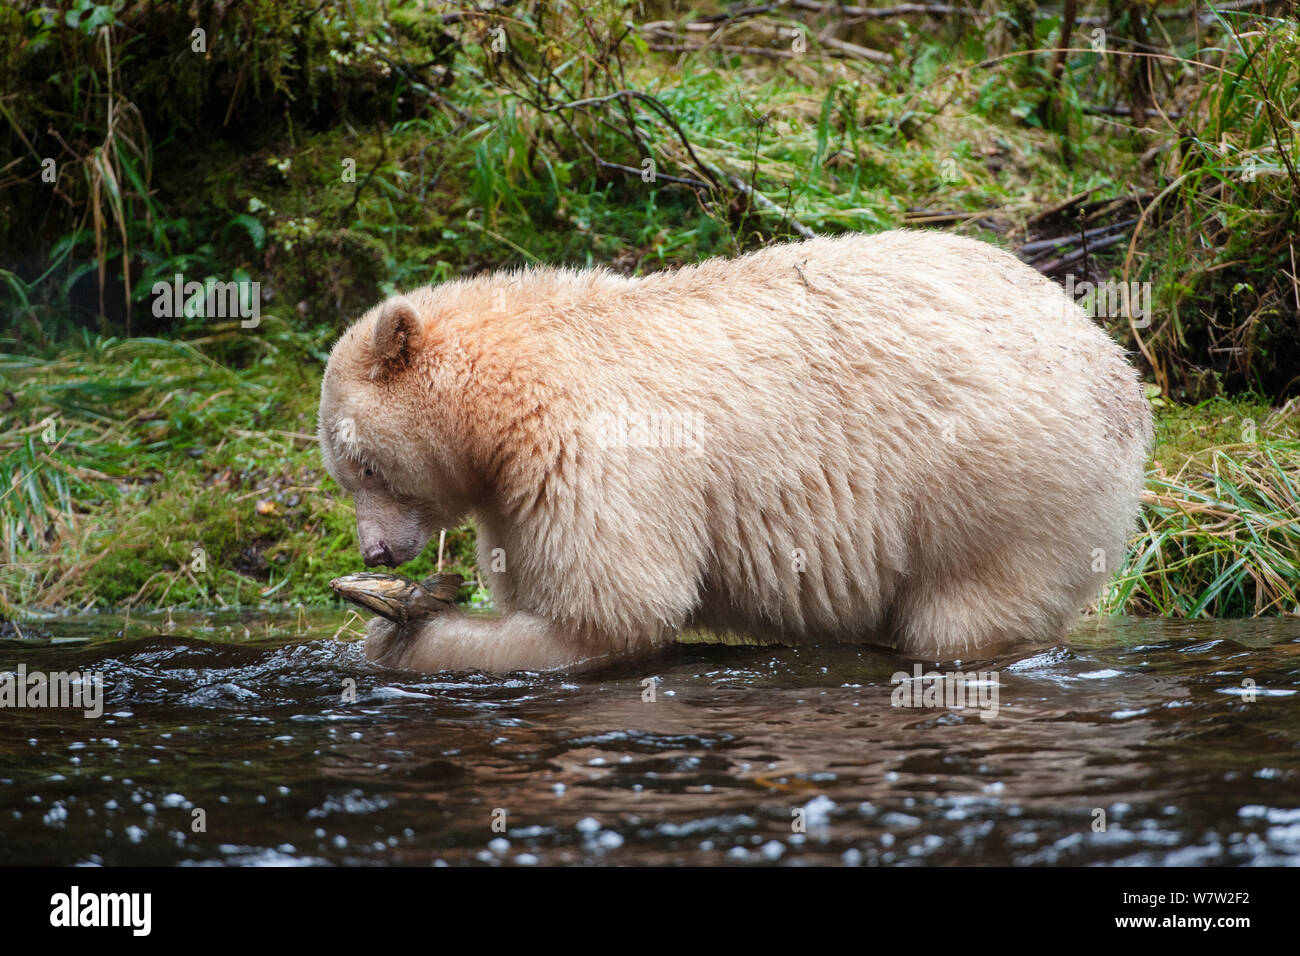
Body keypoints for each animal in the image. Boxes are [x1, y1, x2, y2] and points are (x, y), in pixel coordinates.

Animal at [317, 230, 1152, 672]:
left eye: (364, 464)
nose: (378, 552)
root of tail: (1120, 375)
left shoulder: (593, 448)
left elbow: (609, 612)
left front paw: (398, 628)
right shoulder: (513, 491)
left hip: (1002, 484)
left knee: (965, 613)